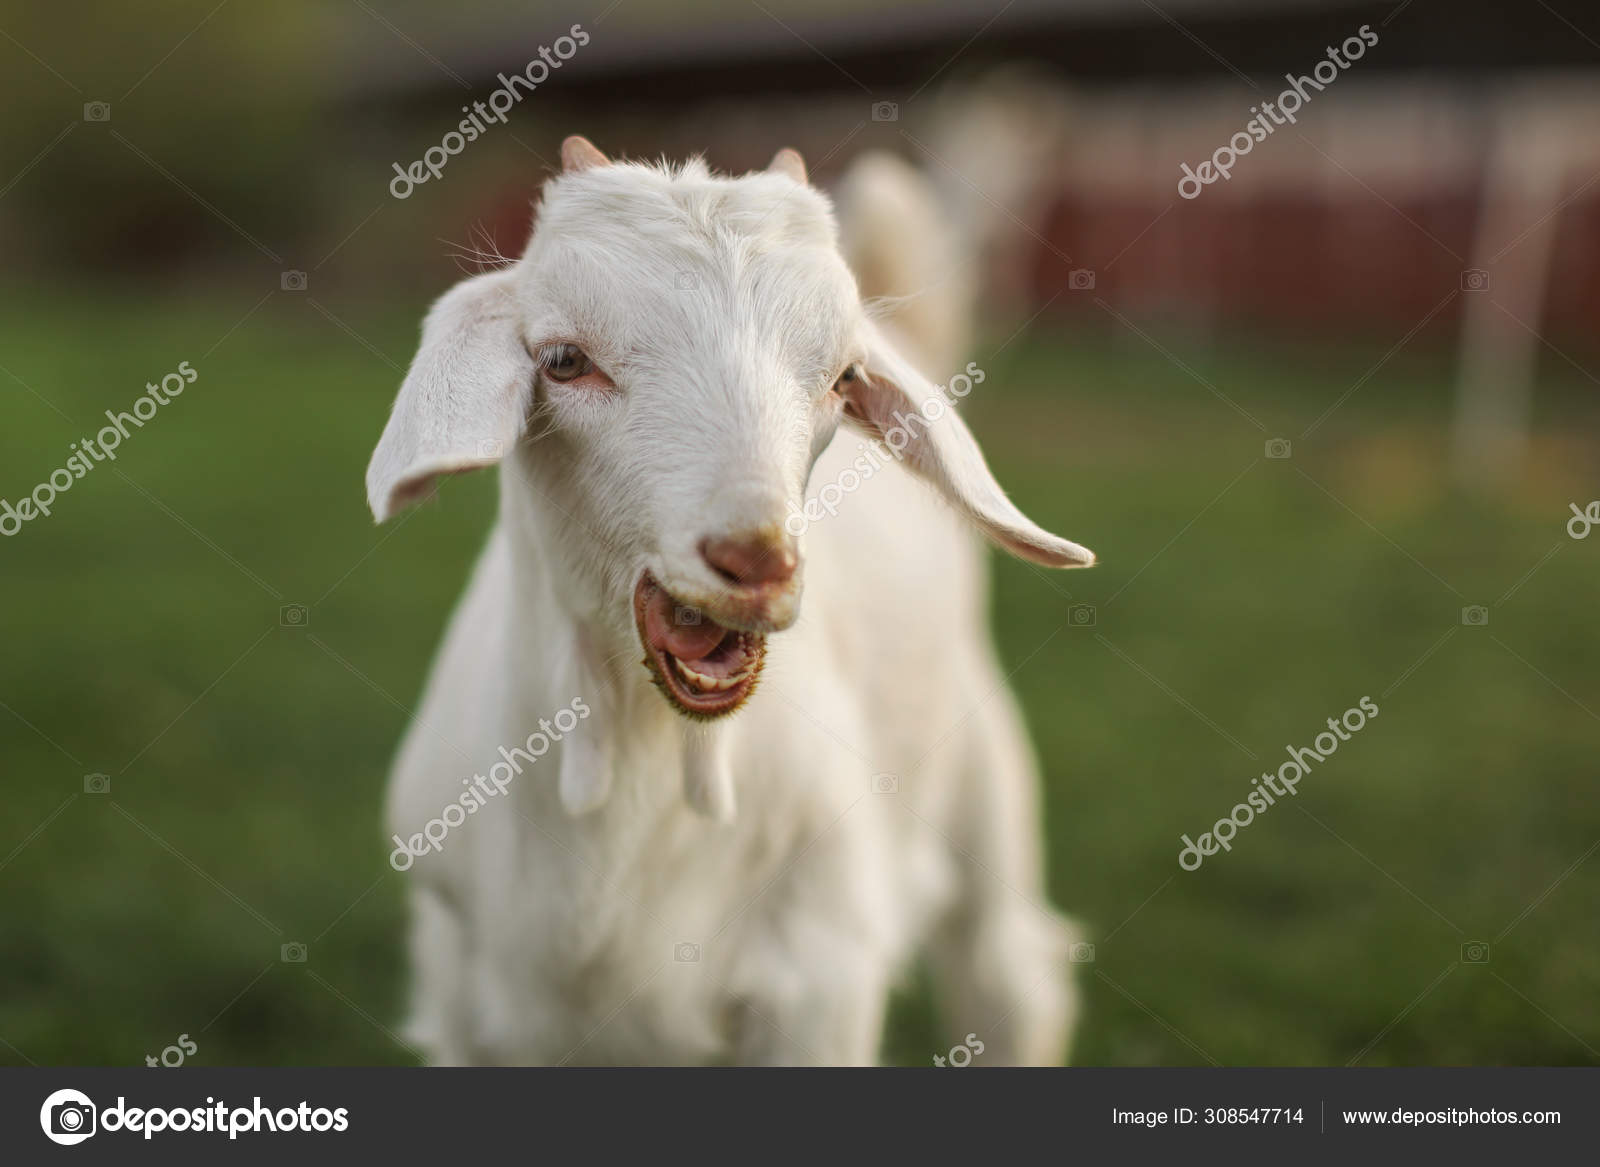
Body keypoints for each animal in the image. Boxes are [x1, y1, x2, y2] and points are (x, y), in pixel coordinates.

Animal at [366, 136, 1094, 1065]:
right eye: (563, 360)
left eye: (843, 377)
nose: (758, 558)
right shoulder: (466, 990)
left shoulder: (820, 982)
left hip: (982, 778)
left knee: (1006, 976)